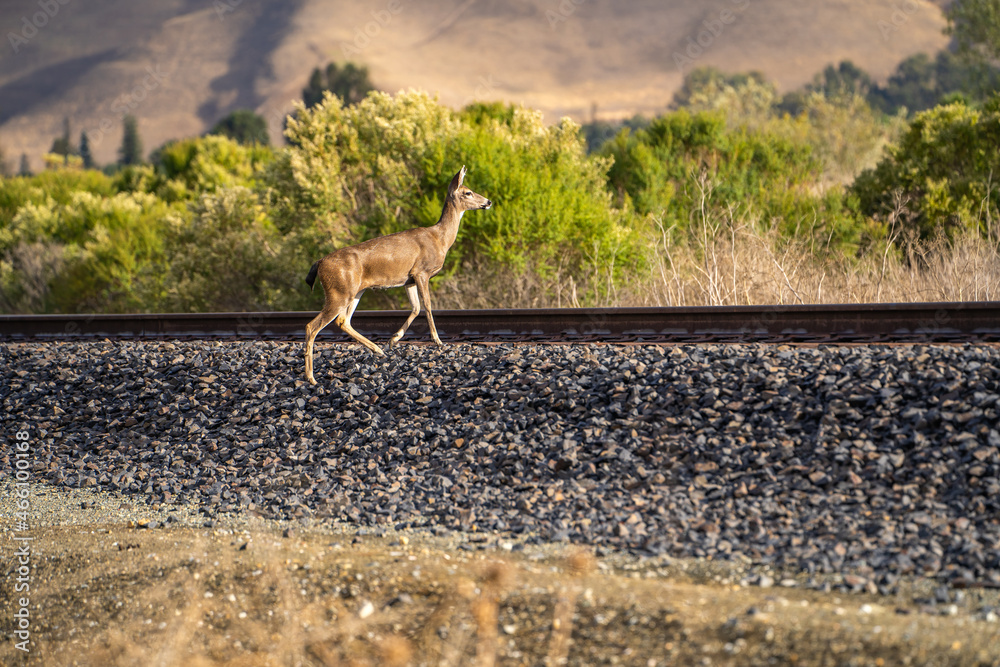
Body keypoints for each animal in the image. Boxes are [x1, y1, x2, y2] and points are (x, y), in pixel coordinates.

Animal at [303, 166, 492, 385]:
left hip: (354, 291)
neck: (441, 239)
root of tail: (319, 263)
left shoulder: (409, 279)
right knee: (312, 326)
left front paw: (394, 339)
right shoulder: (422, 271)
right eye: (468, 192)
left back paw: (378, 350)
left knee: (343, 321)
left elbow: (416, 307)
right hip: (338, 291)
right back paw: (311, 377)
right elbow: (427, 305)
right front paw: (438, 341)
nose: (488, 201)